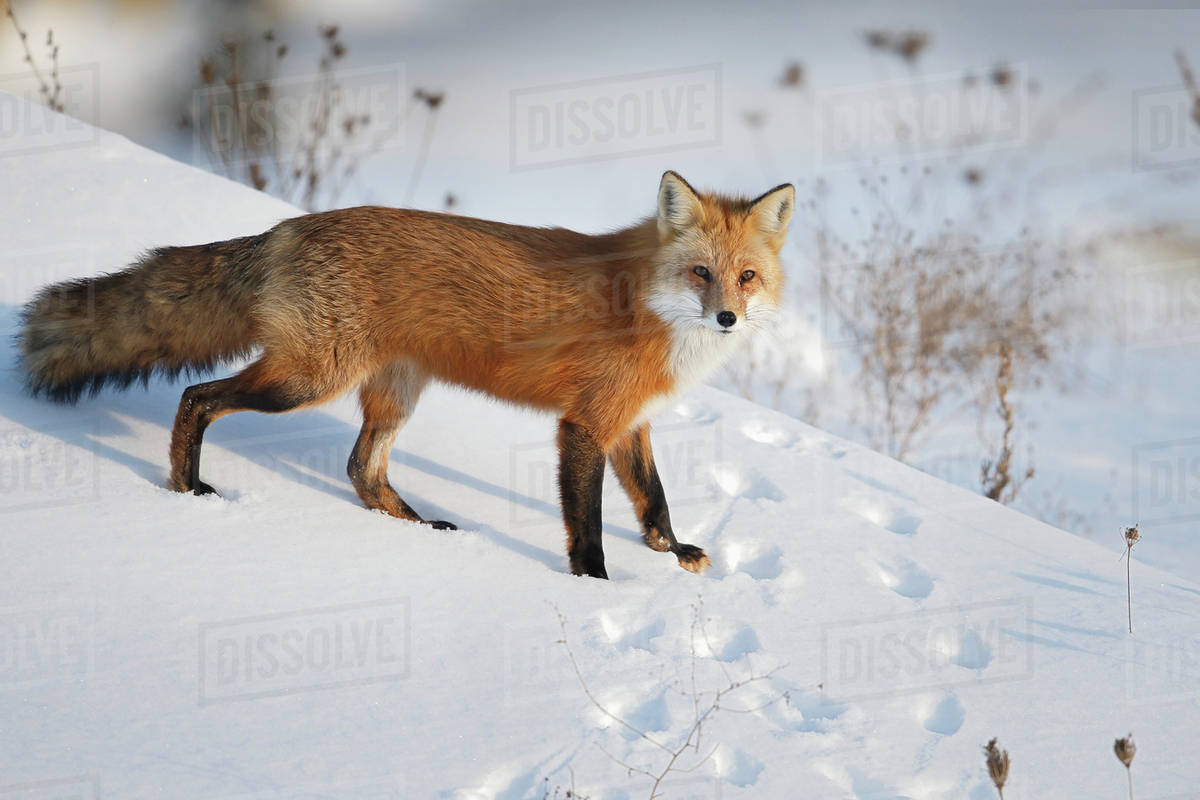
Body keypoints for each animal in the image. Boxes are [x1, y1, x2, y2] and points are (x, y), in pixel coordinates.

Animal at [19, 171, 793, 579]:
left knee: (361, 470)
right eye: (700, 273)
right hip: (306, 382)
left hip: (393, 392)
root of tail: (285, 230)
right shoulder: (585, 424)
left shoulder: (628, 421)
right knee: (196, 397)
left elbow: (653, 501)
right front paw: (597, 587)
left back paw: (424, 531)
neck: (641, 303)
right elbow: (590, 525)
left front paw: (674, 553)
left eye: (746, 277)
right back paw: (190, 489)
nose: (727, 318)